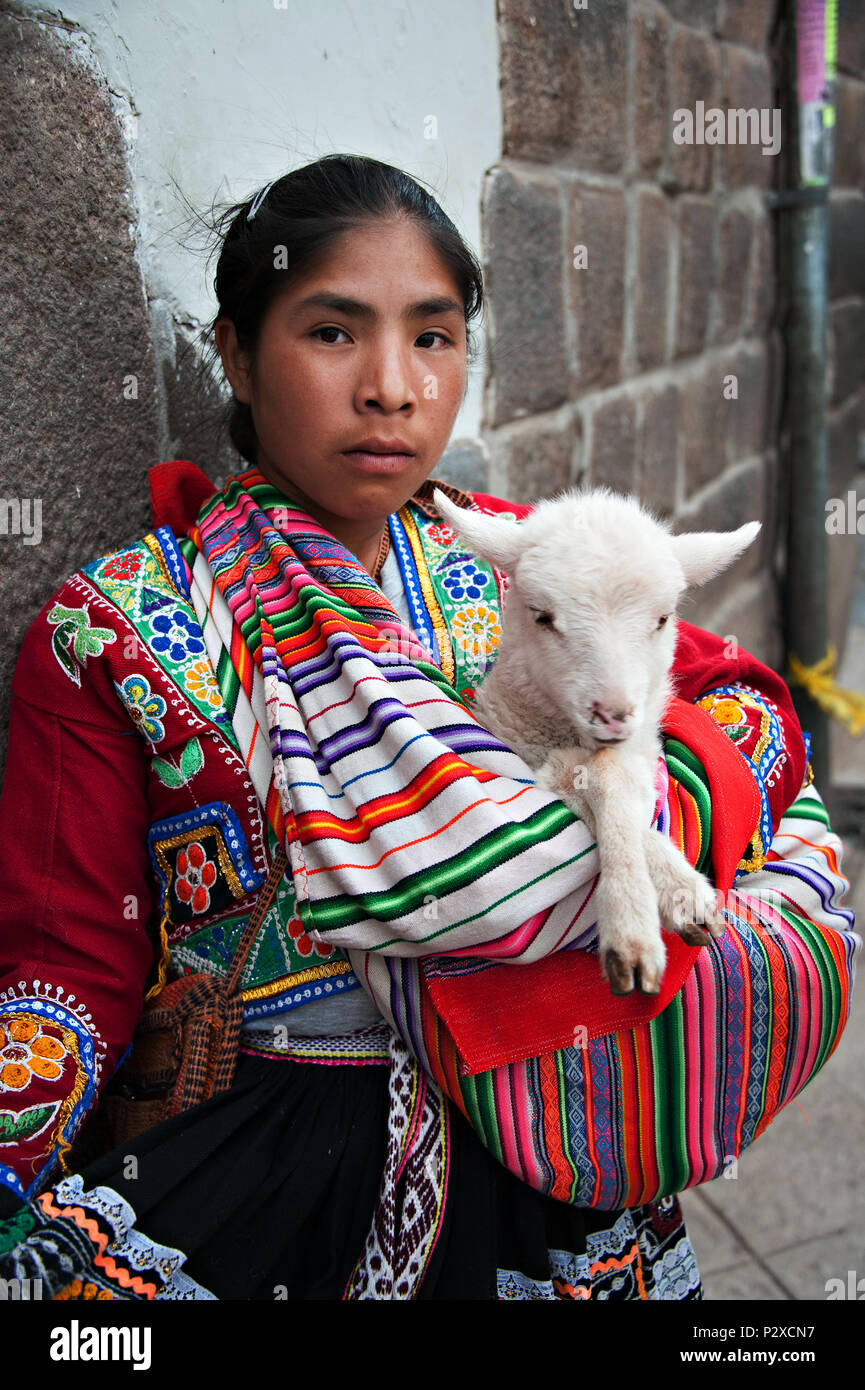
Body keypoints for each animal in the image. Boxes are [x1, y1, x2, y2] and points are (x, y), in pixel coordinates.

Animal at [432, 485, 761, 996]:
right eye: (542, 616)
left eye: (663, 619)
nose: (614, 714)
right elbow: (597, 779)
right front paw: (639, 926)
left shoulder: (638, 751)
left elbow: (616, 776)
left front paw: (679, 898)